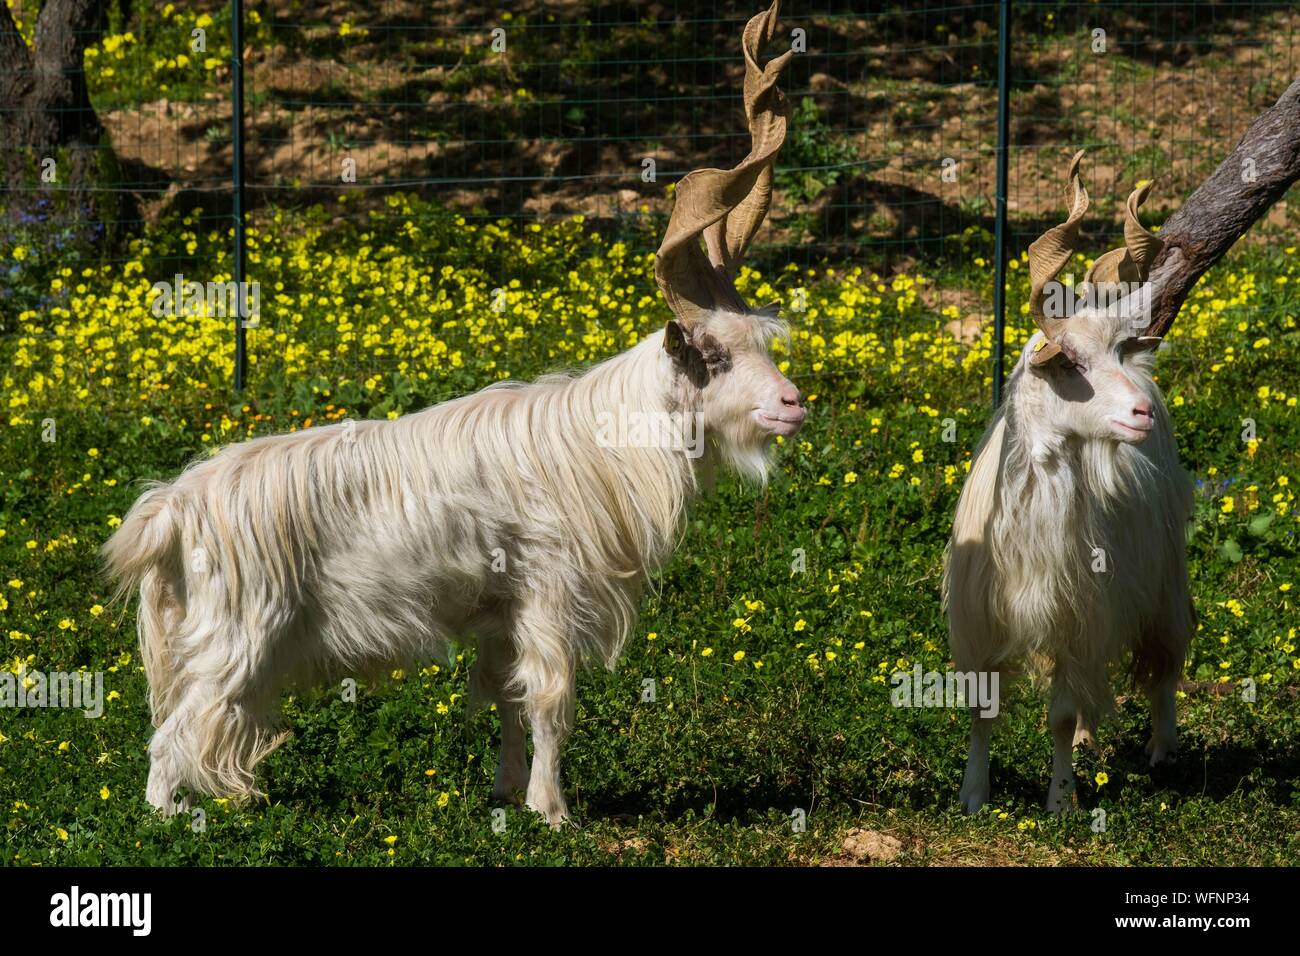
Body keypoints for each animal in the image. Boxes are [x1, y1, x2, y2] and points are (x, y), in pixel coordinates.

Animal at [106, 0, 800, 827]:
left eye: (762, 339)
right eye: (714, 353)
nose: (792, 405)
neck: (596, 444)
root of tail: (171, 512)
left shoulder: (501, 610)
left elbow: (506, 698)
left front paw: (506, 795)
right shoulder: (548, 591)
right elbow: (550, 701)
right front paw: (553, 812)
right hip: (235, 640)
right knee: (170, 737)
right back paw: (173, 820)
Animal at [946, 153, 1196, 811]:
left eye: (1116, 351)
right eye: (1071, 363)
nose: (1140, 412)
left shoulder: (1078, 619)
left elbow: (1057, 714)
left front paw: (1061, 801)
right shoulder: (982, 621)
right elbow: (982, 710)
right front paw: (974, 796)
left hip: (1163, 574)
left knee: (1163, 660)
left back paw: (1163, 749)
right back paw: (1092, 740)